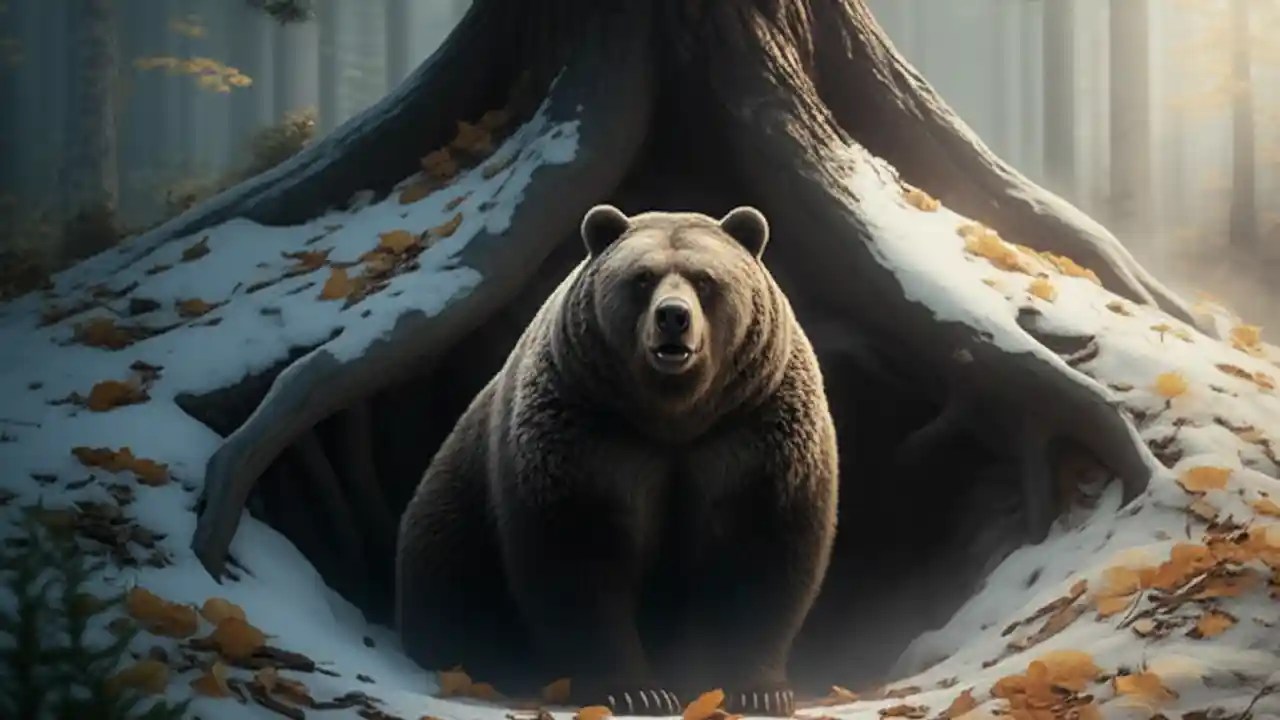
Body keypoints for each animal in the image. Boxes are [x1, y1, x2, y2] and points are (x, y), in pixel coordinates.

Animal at [396, 204, 839, 716]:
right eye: (642, 278)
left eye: (705, 279)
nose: (673, 317)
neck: (673, 418)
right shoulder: (589, 440)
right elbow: (580, 559)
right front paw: (635, 690)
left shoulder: (752, 436)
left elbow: (762, 553)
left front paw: (759, 690)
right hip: (453, 532)